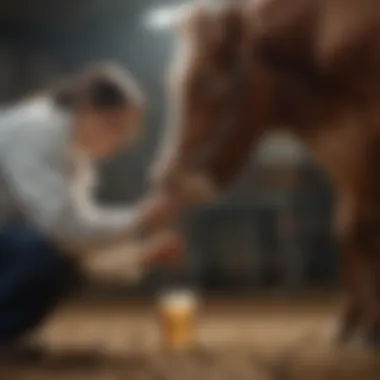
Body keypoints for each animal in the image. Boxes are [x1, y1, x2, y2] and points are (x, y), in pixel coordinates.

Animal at [151, 0, 380, 348]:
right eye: (170, 83)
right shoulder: (343, 150)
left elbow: (365, 229)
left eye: (206, 80)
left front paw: (369, 328)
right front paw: (349, 324)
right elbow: (349, 228)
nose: (164, 180)